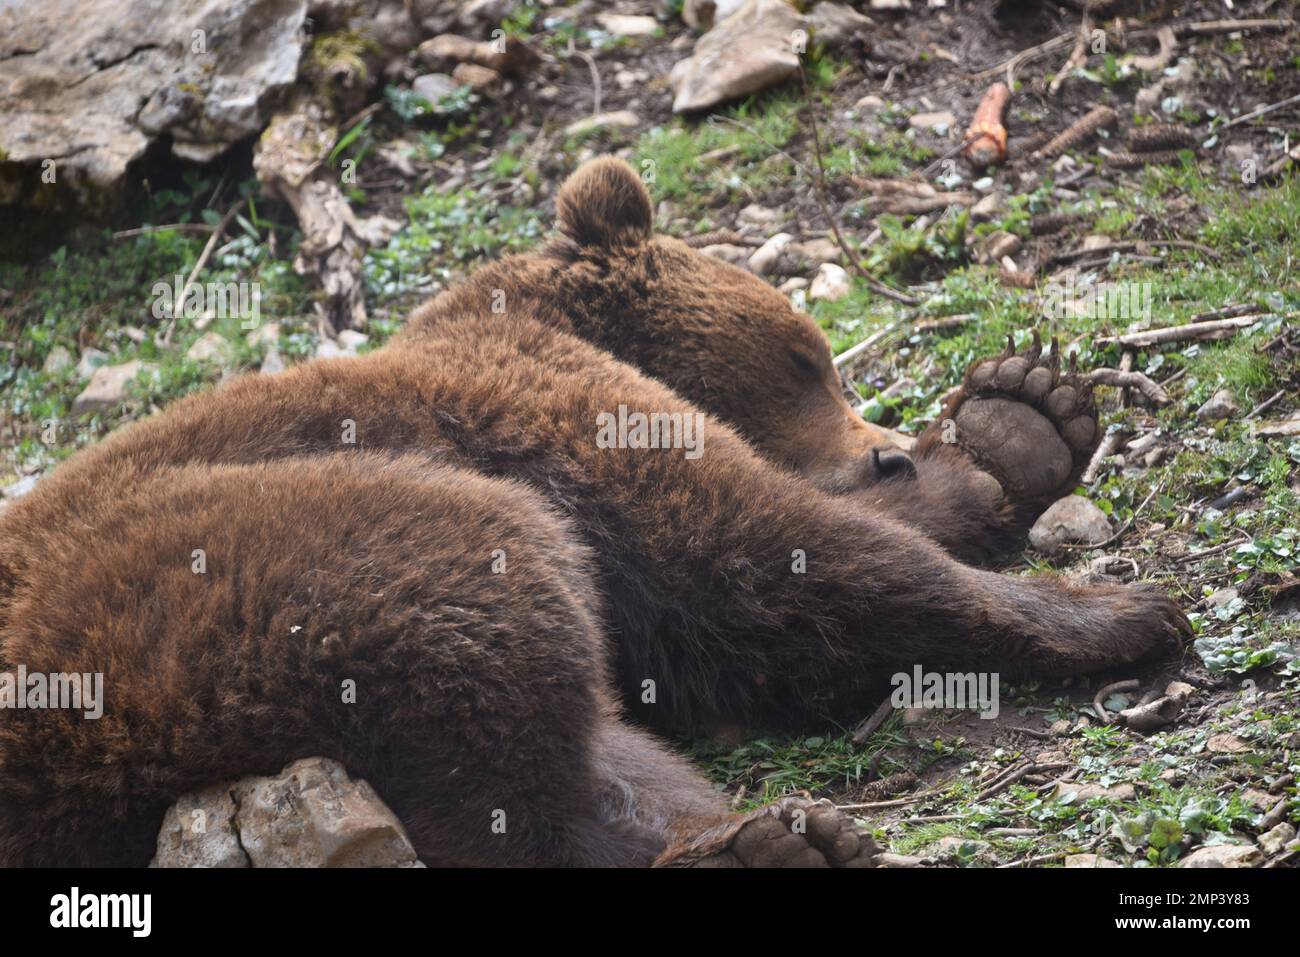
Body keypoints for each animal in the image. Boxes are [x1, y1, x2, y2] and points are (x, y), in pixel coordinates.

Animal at [0, 158, 1188, 867]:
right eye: (806, 356)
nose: (884, 446)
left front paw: (1025, 414)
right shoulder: (554, 422)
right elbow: (771, 556)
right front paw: (1114, 608)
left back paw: (772, 836)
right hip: (222, 588)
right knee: (496, 659)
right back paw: (746, 847)